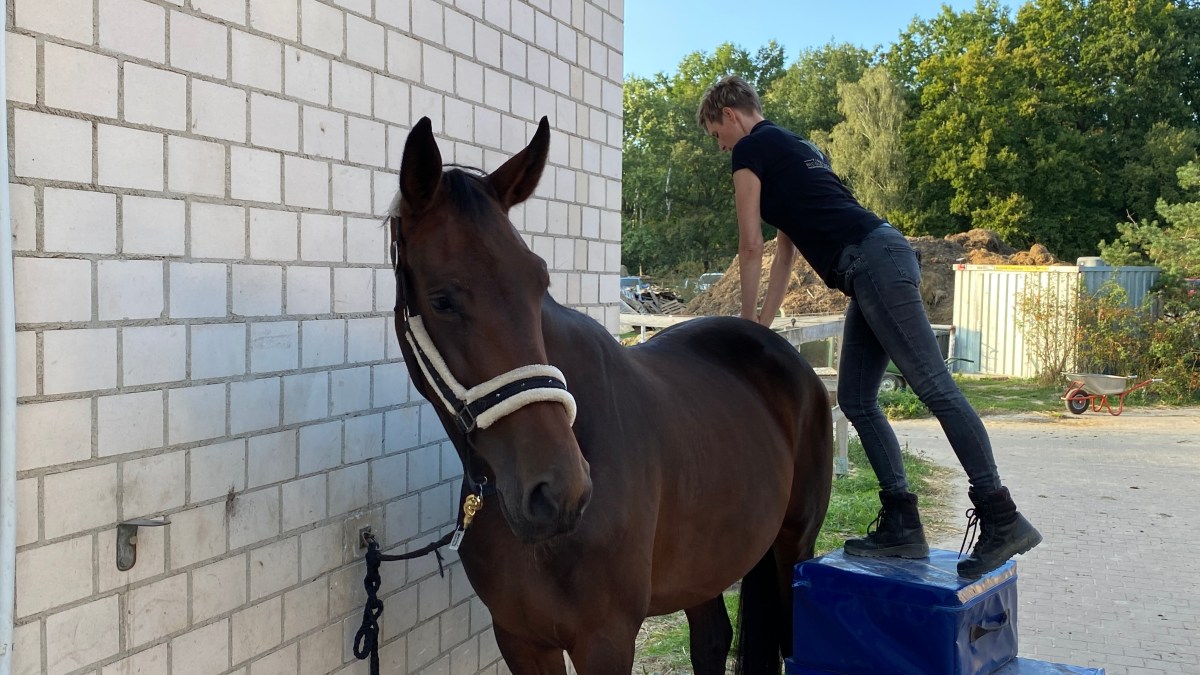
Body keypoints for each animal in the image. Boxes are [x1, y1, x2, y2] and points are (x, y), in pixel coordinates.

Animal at [389, 116, 833, 675]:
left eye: (539, 281)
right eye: (442, 299)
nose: (559, 491)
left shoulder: (606, 639)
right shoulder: (520, 639)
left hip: (794, 546)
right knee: (712, 638)